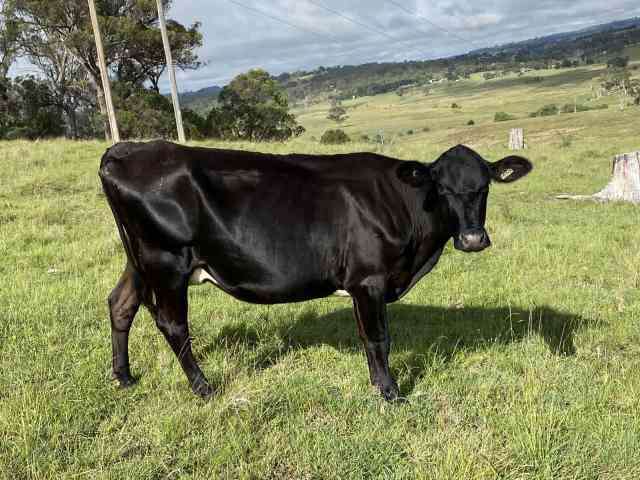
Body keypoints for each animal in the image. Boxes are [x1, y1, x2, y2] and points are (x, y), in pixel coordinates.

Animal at [99, 141, 531, 401]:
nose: (473, 238)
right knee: (173, 325)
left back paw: (123, 377)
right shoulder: (369, 280)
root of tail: (127, 150)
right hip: (166, 262)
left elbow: (368, 339)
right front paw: (390, 393)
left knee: (121, 304)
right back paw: (204, 388)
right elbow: (379, 338)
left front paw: (378, 386)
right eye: (441, 188)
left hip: (139, 261)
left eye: (485, 186)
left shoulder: (361, 285)